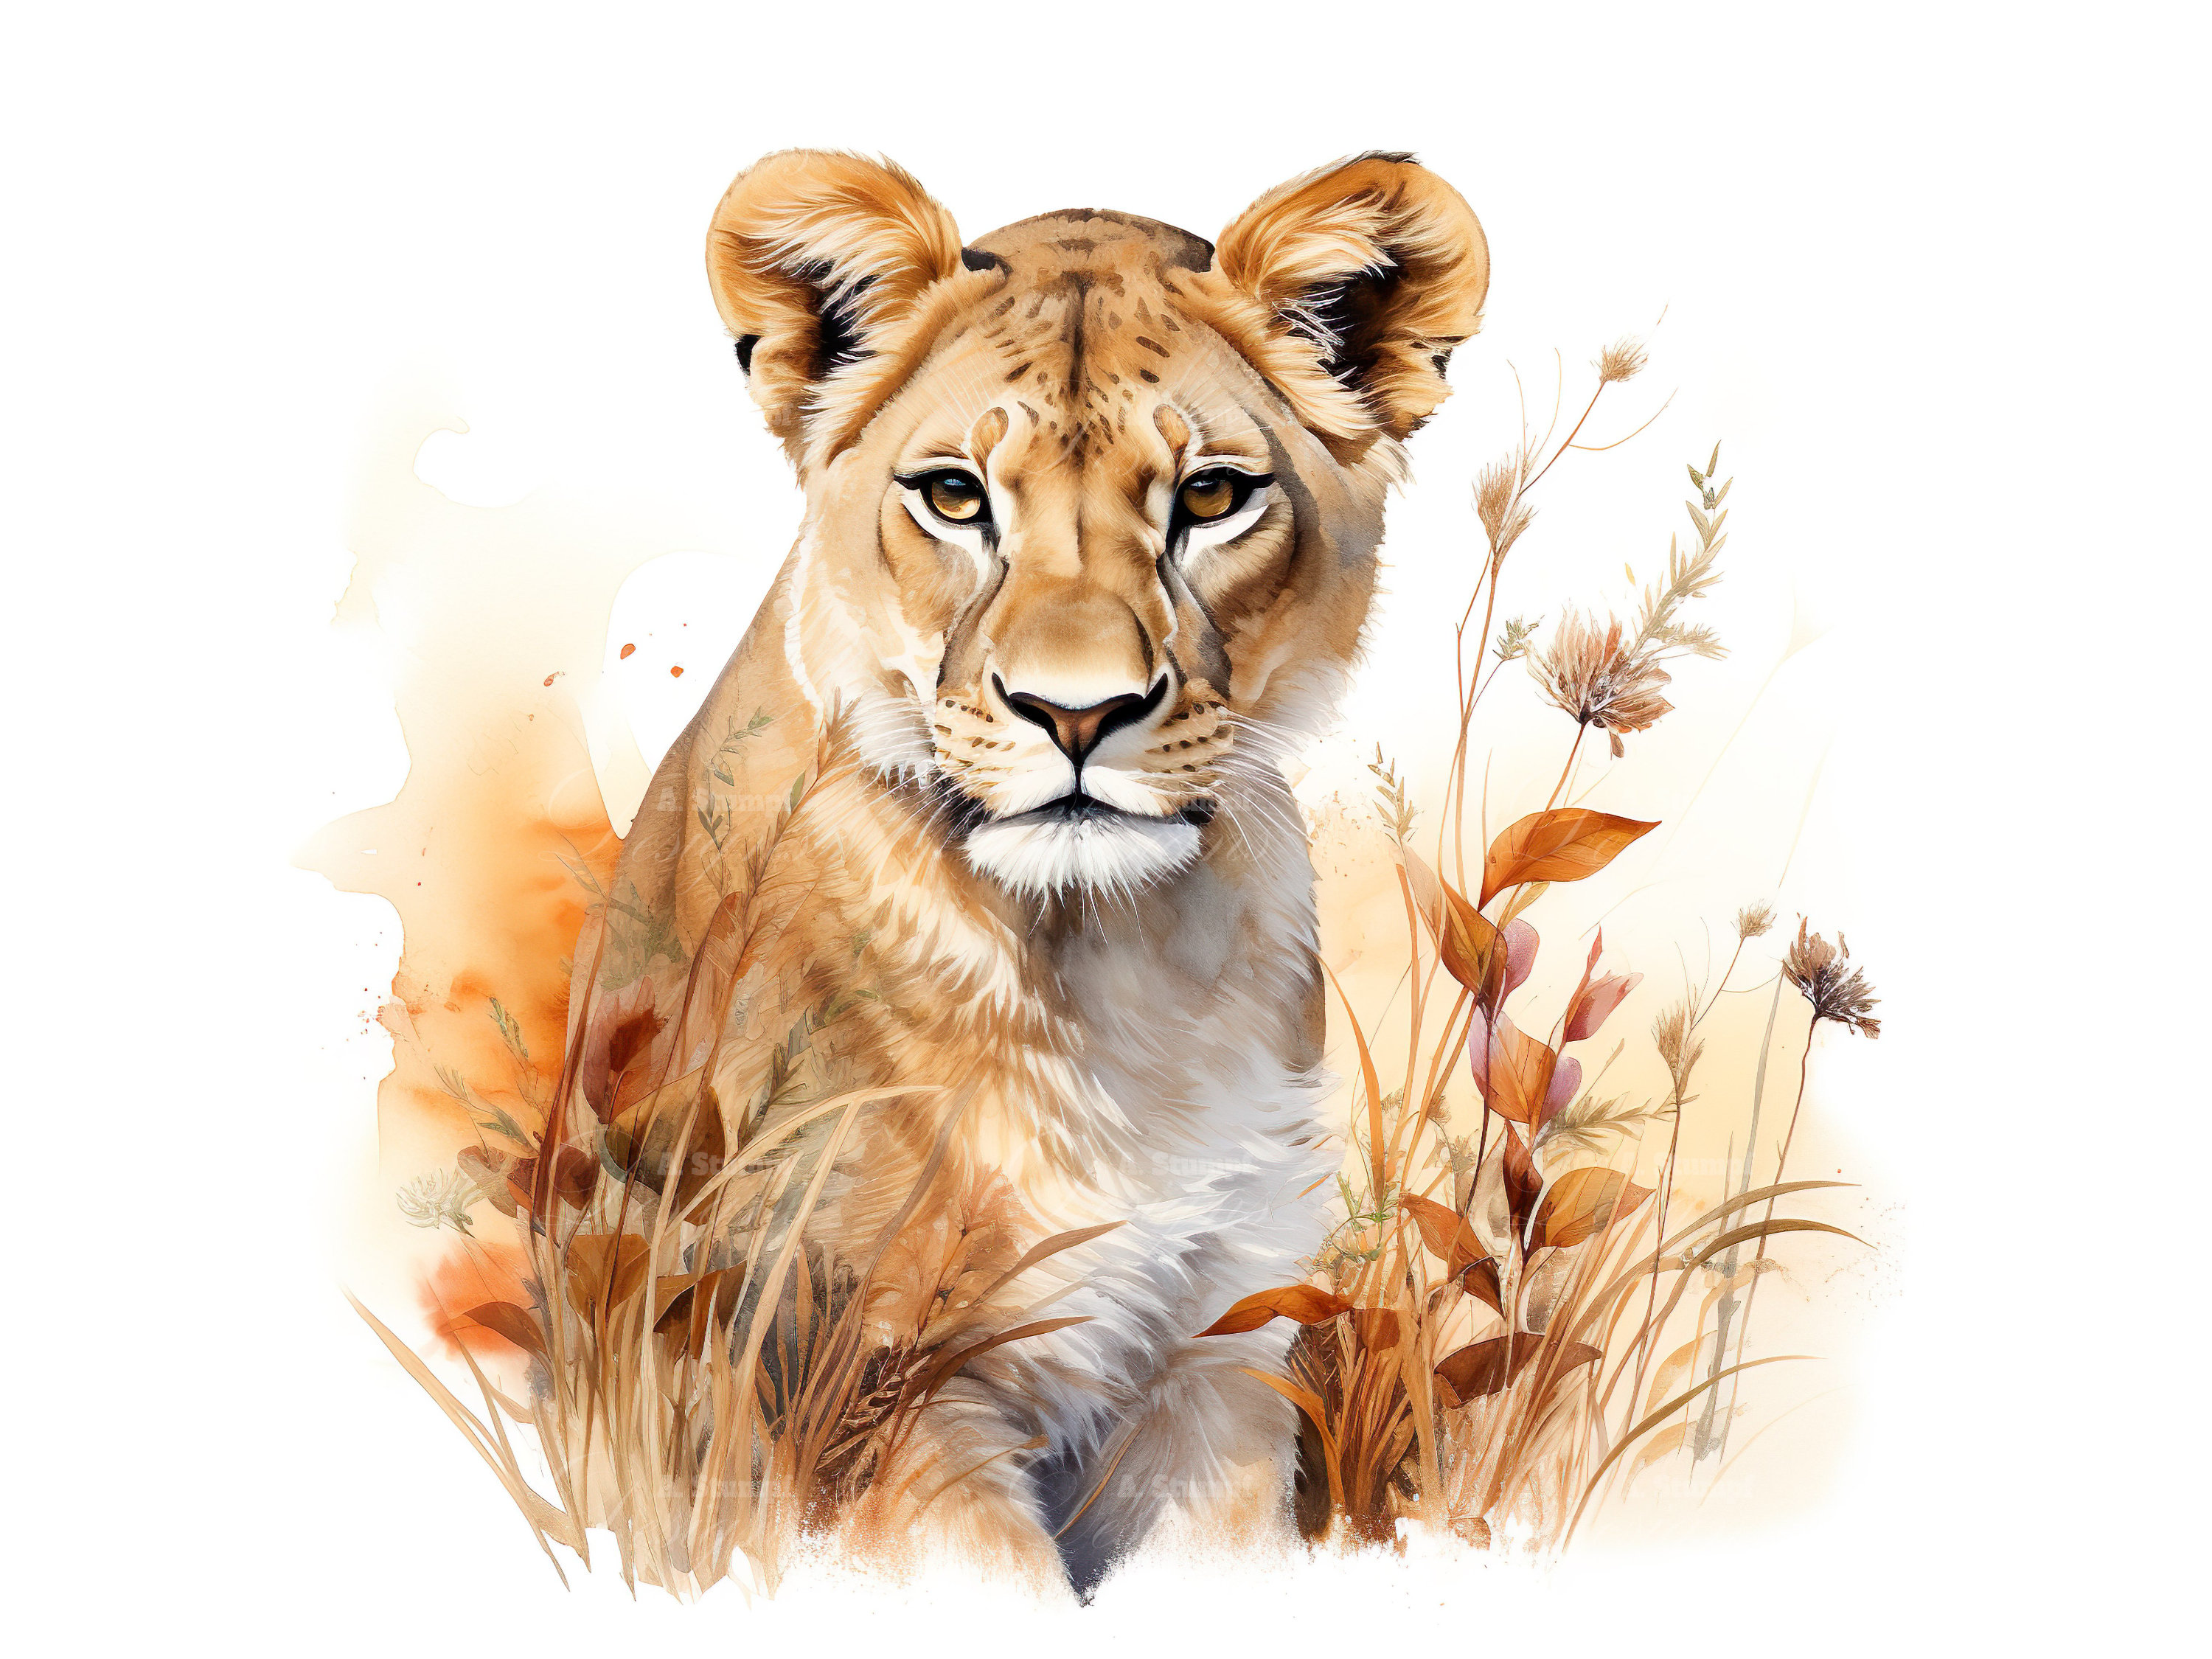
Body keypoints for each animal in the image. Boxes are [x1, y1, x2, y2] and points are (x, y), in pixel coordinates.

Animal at [553, 148, 1488, 1595]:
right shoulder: (876, 1385)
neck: (1117, 971)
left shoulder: (1219, 1350)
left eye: (1211, 497)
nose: (1078, 711)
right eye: (953, 496)